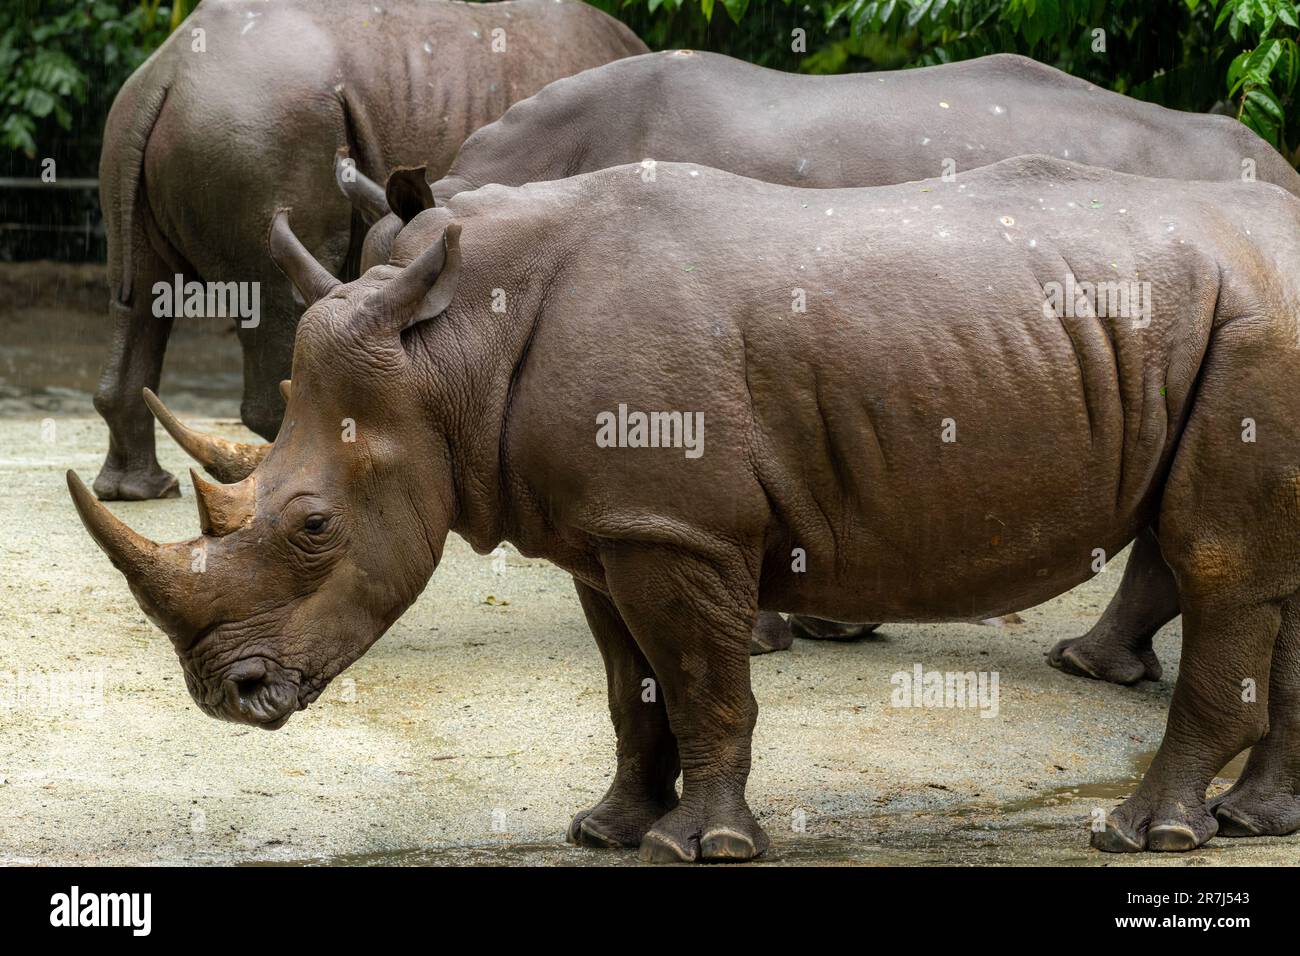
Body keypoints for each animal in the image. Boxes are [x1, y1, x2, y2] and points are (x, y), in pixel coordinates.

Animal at [71, 158, 1300, 859]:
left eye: (314, 527)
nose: (225, 697)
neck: (447, 353)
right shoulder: (611, 530)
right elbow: (634, 689)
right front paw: (605, 831)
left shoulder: (677, 530)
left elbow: (706, 682)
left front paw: (696, 845)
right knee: (1276, 580)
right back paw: (1253, 821)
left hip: (1258, 333)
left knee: (1221, 560)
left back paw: (1151, 835)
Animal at [93, 0, 645, 502]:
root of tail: (162, 75)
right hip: (257, 123)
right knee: (274, 292)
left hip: (137, 128)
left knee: (139, 291)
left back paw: (139, 491)